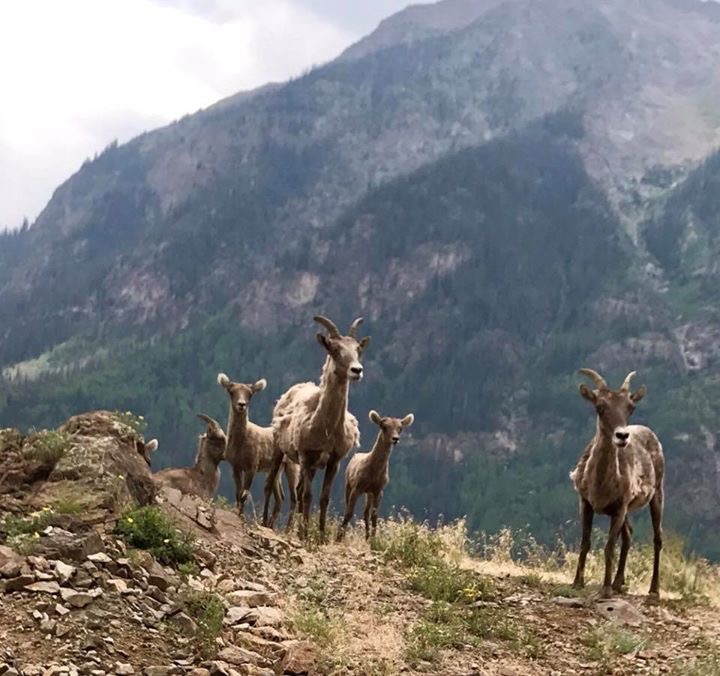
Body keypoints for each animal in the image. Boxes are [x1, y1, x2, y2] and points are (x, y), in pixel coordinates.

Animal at [218, 373, 299, 519]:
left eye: (250, 394)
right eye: (231, 392)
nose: (241, 404)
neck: (240, 443)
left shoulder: (252, 466)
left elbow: (244, 495)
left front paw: (241, 516)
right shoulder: (236, 466)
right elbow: (238, 494)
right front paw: (238, 513)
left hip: (292, 466)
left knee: (293, 498)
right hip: (277, 470)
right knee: (280, 497)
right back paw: (269, 522)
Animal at [263, 315, 369, 539]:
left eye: (358, 349)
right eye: (334, 348)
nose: (357, 370)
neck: (325, 429)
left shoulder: (334, 462)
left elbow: (323, 498)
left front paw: (320, 535)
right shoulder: (305, 456)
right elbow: (308, 496)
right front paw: (305, 535)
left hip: (309, 468)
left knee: (297, 491)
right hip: (279, 450)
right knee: (271, 485)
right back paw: (265, 522)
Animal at [337, 410, 414, 541]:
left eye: (400, 428)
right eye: (384, 426)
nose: (395, 438)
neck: (374, 473)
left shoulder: (378, 489)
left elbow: (374, 515)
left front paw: (373, 539)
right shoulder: (357, 487)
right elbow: (349, 512)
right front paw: (340, 537)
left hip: (370, 493)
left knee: (366, 512)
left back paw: (367, 536)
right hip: (348, 484)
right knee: (349, 507)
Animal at [570, 368, 665, 598]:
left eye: (630, 407)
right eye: (600, 406)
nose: (622, 436)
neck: (600, 485)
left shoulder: (619, 508)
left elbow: (609, 547)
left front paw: (605, 590)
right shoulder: (586, 503)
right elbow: (585, 543)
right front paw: (577, 583)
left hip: (657, 495)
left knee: (657, 538)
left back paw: (653, 590)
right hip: (628, 510)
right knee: (629, 535)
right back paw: (618, 583)